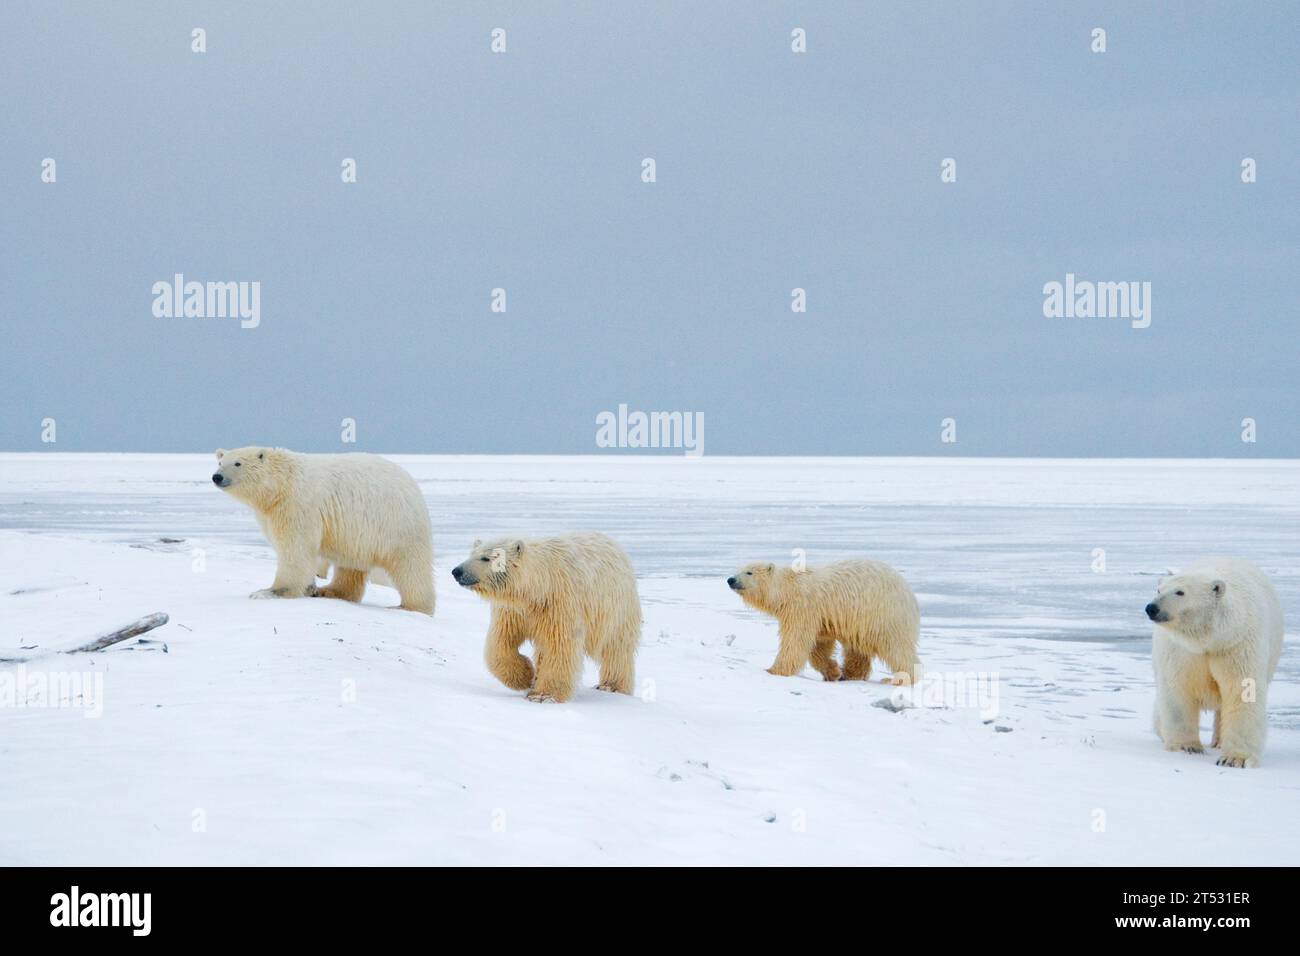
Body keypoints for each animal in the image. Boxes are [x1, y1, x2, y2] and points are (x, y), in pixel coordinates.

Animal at [212, 447, 434, 615]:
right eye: (220, 462)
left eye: (237, 463)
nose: (217, 477)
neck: (283, 483)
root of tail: (415, 488)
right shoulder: (271, 512)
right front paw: (309, 587)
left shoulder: (298, 504)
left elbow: (295, 549)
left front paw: (269, 592)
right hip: (357, 535)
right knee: (349, 566)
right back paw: (329, 591)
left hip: (396, 525)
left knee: (410, 567)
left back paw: (410, 606)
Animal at [451, 533, 640, 703]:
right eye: (471, 554)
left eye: (486, 558)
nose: (456, 571)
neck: (538, 589)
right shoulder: (514, 611)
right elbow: (501, 642)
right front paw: (526, 676)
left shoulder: (560, 604)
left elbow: (559, 646)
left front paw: (543, 695)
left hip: (616, 608)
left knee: (616, 647)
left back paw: (611, 685)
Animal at [727, 559, 921, 684]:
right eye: (739, 569)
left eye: (749, 572)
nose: (730, 579)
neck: (789, 589)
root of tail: (909, 592)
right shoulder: (820, 618)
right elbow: (819, 646)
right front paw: (834, 672)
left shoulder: (803, 608)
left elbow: (796, 640)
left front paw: (775, 670)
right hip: (862, 621)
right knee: (858, 649)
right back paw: (851, 674)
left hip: (884, 614)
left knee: (896, 646)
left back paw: (899, 678)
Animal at [1146, 557, 1284, 768]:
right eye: (1159, 590)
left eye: (1180, 592)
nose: (1152, 608)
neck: (1209, 638)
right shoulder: (1180, 650)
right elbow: (1177, 688)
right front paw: (1187, 747)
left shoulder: (1236, 644)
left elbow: (1242, 690)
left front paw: (1234, 758)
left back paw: (1219, 742)